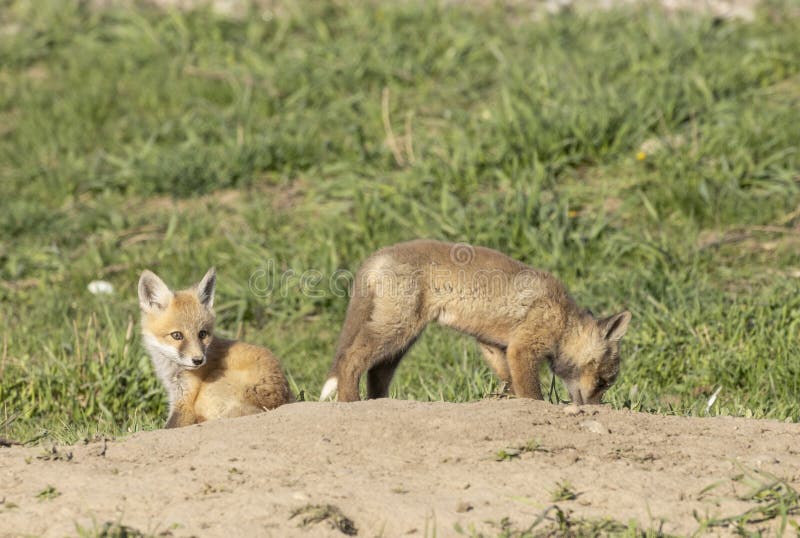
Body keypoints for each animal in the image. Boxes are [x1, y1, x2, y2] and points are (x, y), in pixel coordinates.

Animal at [320, 239, 632, 405]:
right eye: (603, 382)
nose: (595, 409)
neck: (563, 319)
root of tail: (379, 254)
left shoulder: (492, 344)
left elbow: (508, 380)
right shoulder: (523, 348)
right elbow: (532, 394)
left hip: (401, 340)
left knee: (376, 373)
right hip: (395, 330)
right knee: (350, 360)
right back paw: (351, 402)